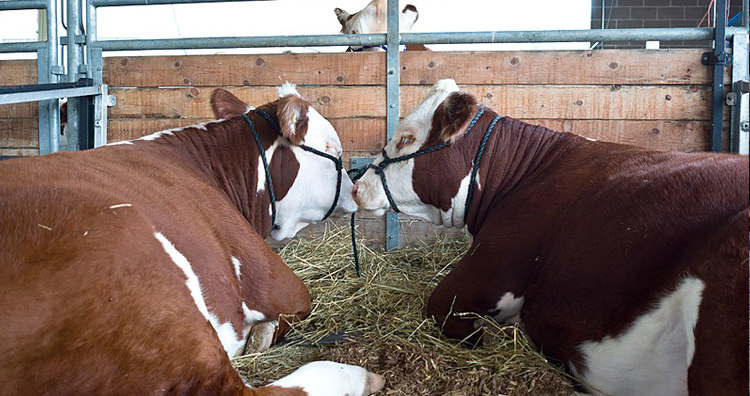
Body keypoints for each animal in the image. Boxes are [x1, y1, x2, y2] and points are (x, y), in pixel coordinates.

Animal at [0, 84, 384, 396]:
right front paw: (262, 335)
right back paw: (360, 376)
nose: (354, 188)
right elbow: (296, 307)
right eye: (332, 148)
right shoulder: (275, 280)